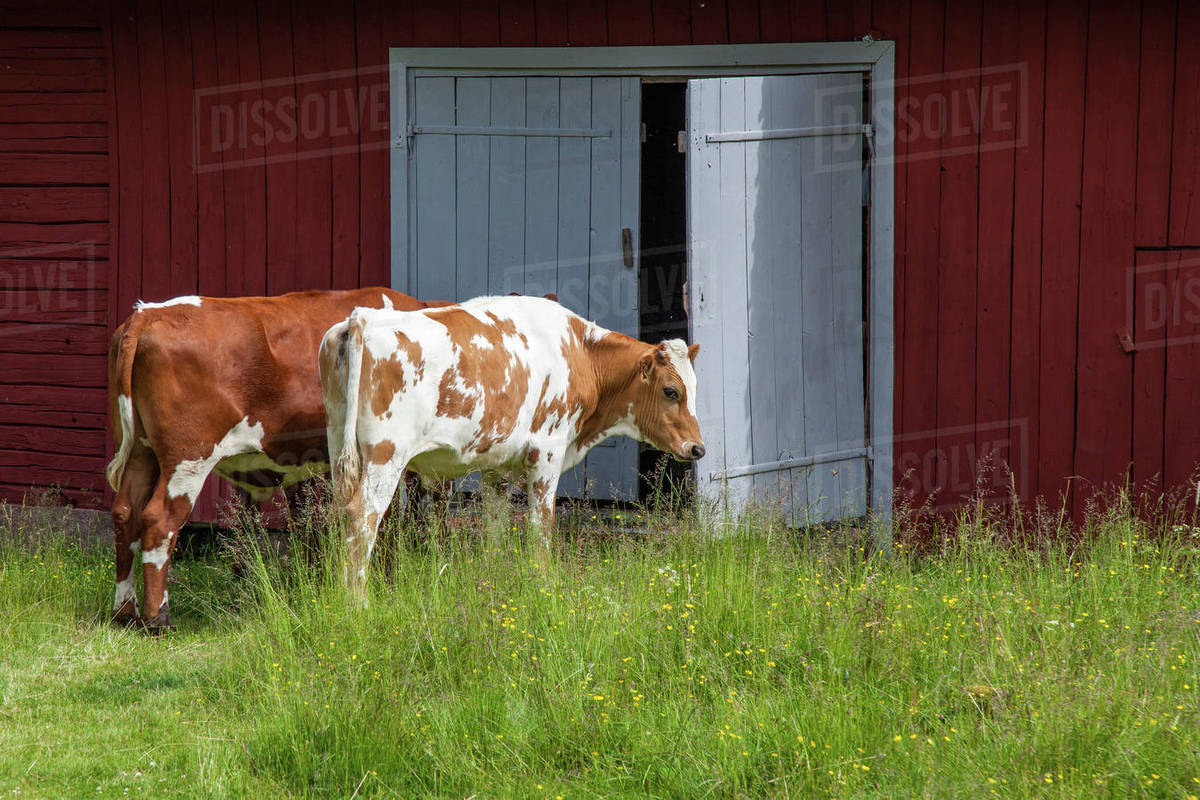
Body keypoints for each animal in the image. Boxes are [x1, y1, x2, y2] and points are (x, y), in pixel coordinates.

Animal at [106, 288, 448, 632]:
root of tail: (148, 313)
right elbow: (381, 523)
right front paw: (383, 583)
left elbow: (310, 521)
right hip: (188, 457)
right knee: (159, 521)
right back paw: (158, 618)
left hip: (141, 451)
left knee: (126, 513)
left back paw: (125, 611)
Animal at [319, 294, 704, 600]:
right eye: (671, 391)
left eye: (695, 388)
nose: (698, 448)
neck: (579, 352)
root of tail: (364, 317)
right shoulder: (547, 454)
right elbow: (541, 527)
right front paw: (544, 584)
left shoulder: (496, 467)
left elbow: (495, 528)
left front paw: (494, 581)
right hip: (386, 455)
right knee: (362, 517)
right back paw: (359, 602)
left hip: (338, 444)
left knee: (341, 513)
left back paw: (340, 592)